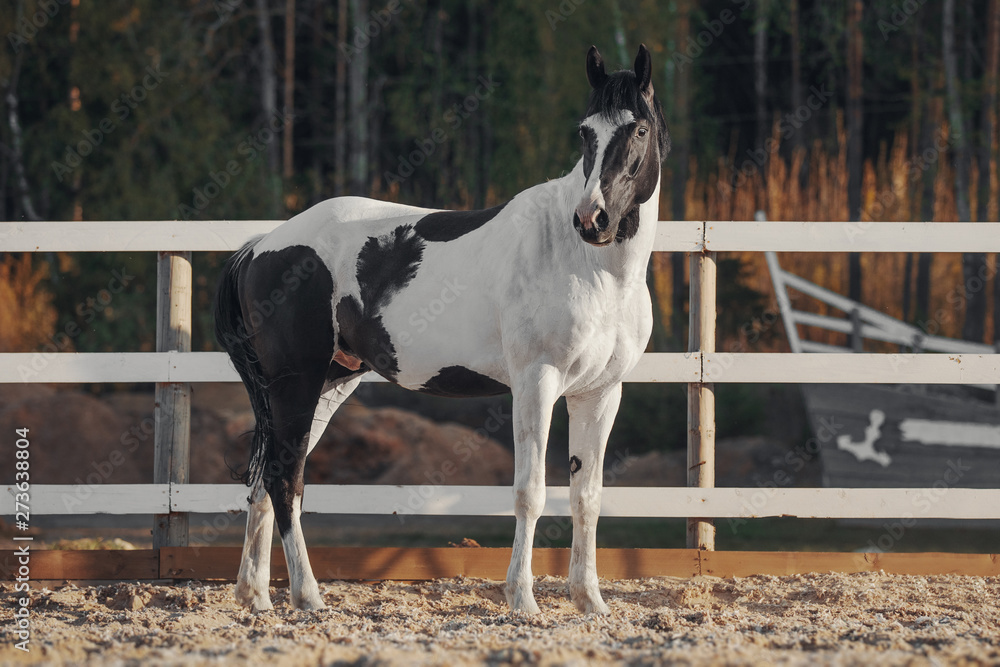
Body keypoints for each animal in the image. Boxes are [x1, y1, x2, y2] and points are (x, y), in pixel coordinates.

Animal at [214, 43, 669, 615]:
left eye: (638, 129)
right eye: (585, 132)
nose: (592, 219)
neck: (590, 267)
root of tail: (262, 246)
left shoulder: (600, 392)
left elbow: (587, 496)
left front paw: (590, 601)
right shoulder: (536, 383)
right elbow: (530, 492)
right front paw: (522, 599)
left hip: (325, 385)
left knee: (264, 479)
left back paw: (255, 595)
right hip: (297, 383)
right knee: (284, 479)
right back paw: (308, 595)